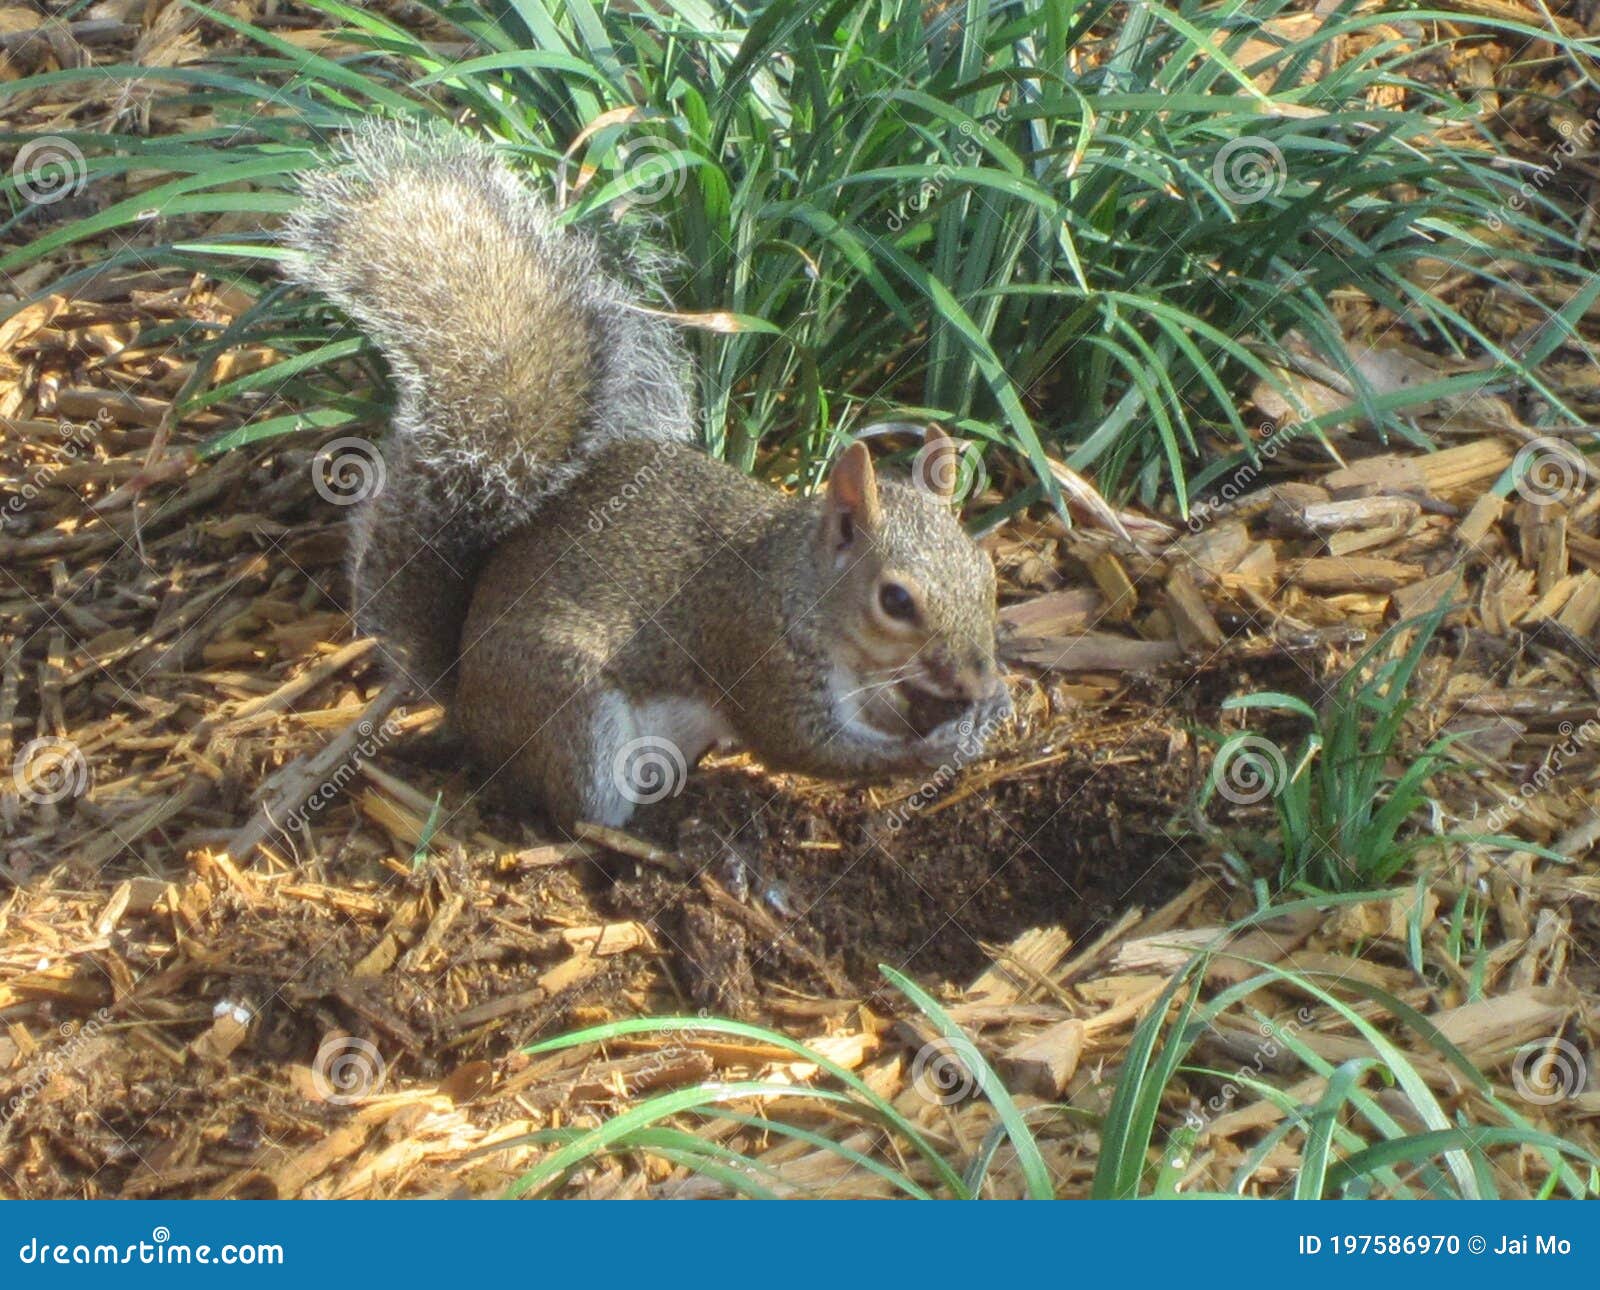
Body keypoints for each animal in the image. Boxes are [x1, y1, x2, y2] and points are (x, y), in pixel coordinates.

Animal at [283, 122, 1010, 832]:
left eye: (987, 572)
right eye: (896, 600)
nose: (980, 680)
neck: (800, 584)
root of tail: (466, 704)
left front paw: (983, 712)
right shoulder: (755, 649)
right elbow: (805, 747)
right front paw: (929, 749)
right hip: (572, 710)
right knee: (580, 816)